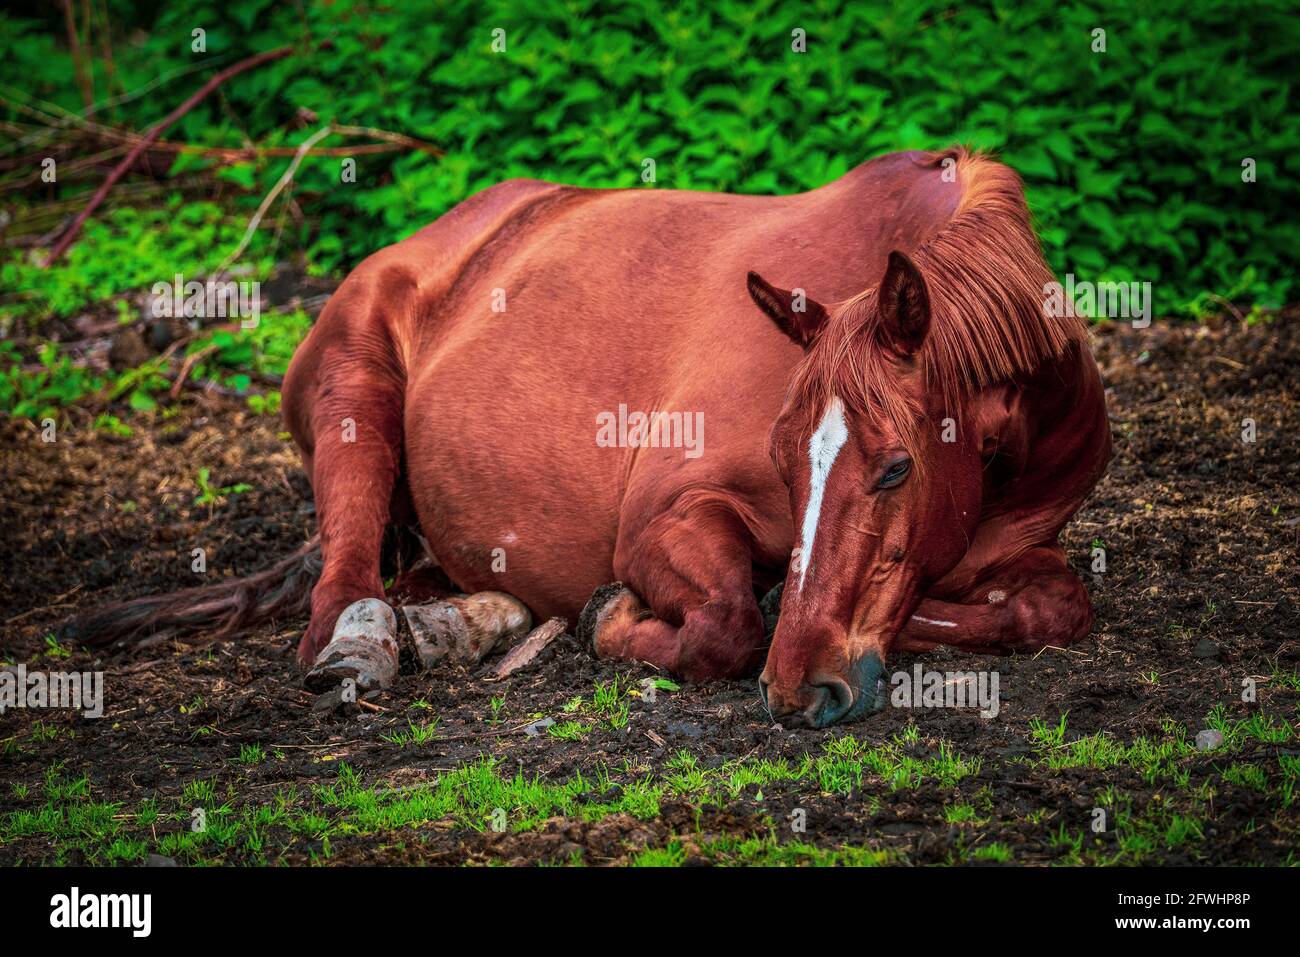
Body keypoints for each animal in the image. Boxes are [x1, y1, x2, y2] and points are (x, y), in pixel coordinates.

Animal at [61, 147, 1111, 727]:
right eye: (782, 459)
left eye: (896, 467)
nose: (800, 689)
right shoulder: (661, 518)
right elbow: (727, 621)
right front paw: (621, 617)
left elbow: (1051, 606)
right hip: (352, 394)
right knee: (343, 579)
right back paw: (368, 644)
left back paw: (452, 624)